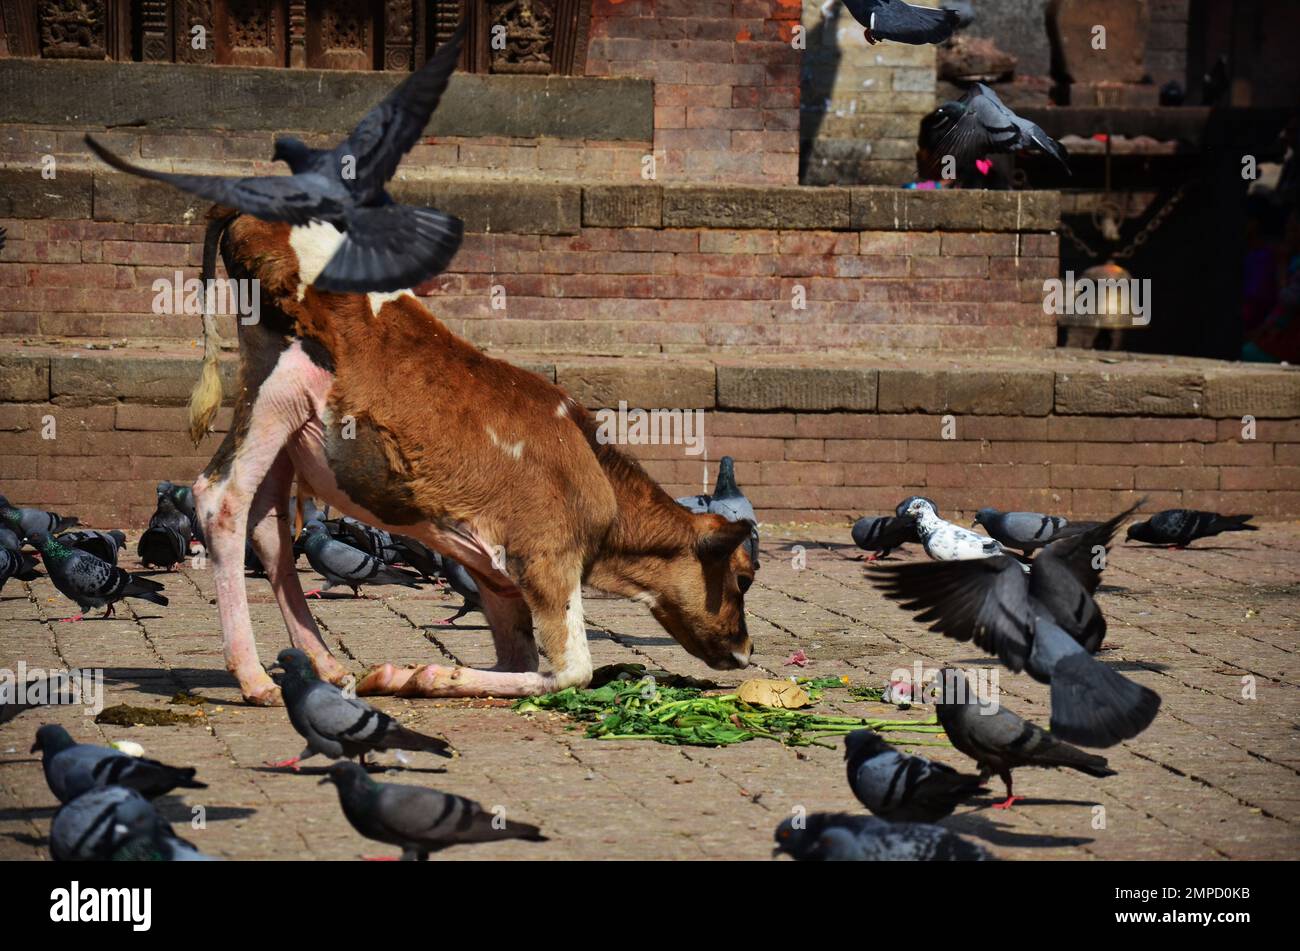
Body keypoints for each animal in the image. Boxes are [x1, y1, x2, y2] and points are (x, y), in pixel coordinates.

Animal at [189, 208, 756, 705]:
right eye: (745, 577)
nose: (746, 651)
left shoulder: (498, 577)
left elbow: (517, 662)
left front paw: (415, 675)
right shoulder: (547, 557)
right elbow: (573, 671)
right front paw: (417, 673)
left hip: (279, 405)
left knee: (267, 523)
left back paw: (325, 665)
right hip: (288, 379)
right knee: (221, 497)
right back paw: (255, 678)